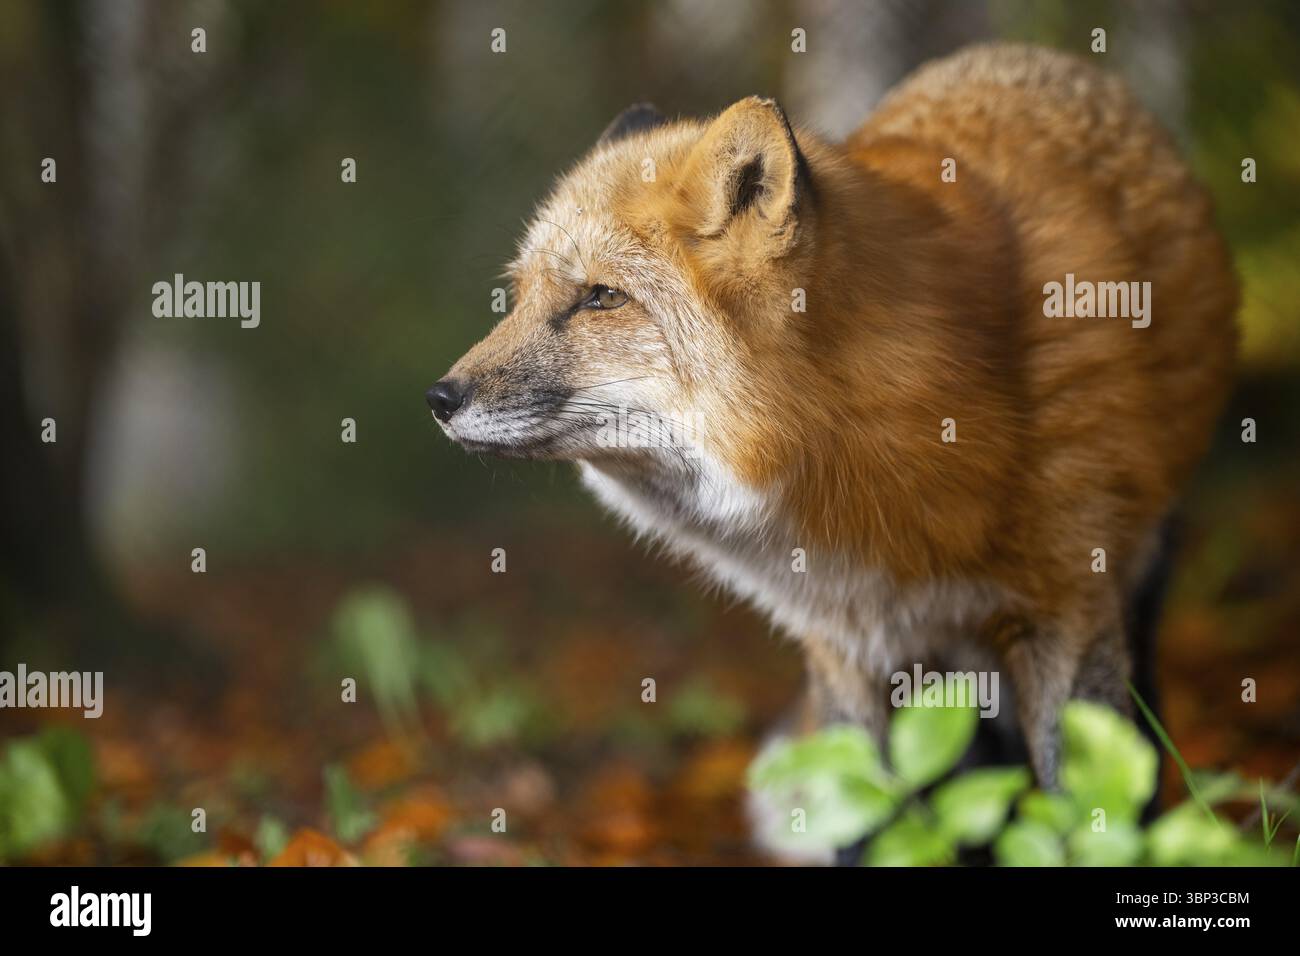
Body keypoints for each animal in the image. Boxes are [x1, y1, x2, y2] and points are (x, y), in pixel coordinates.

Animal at [428, 43, 1237, 856]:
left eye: (600, 296)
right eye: (520, 295)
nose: (439, 398)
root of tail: (1033, 59)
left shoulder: (1068, 612)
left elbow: (1085, 809)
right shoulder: (844, 642)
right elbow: (866, 820)